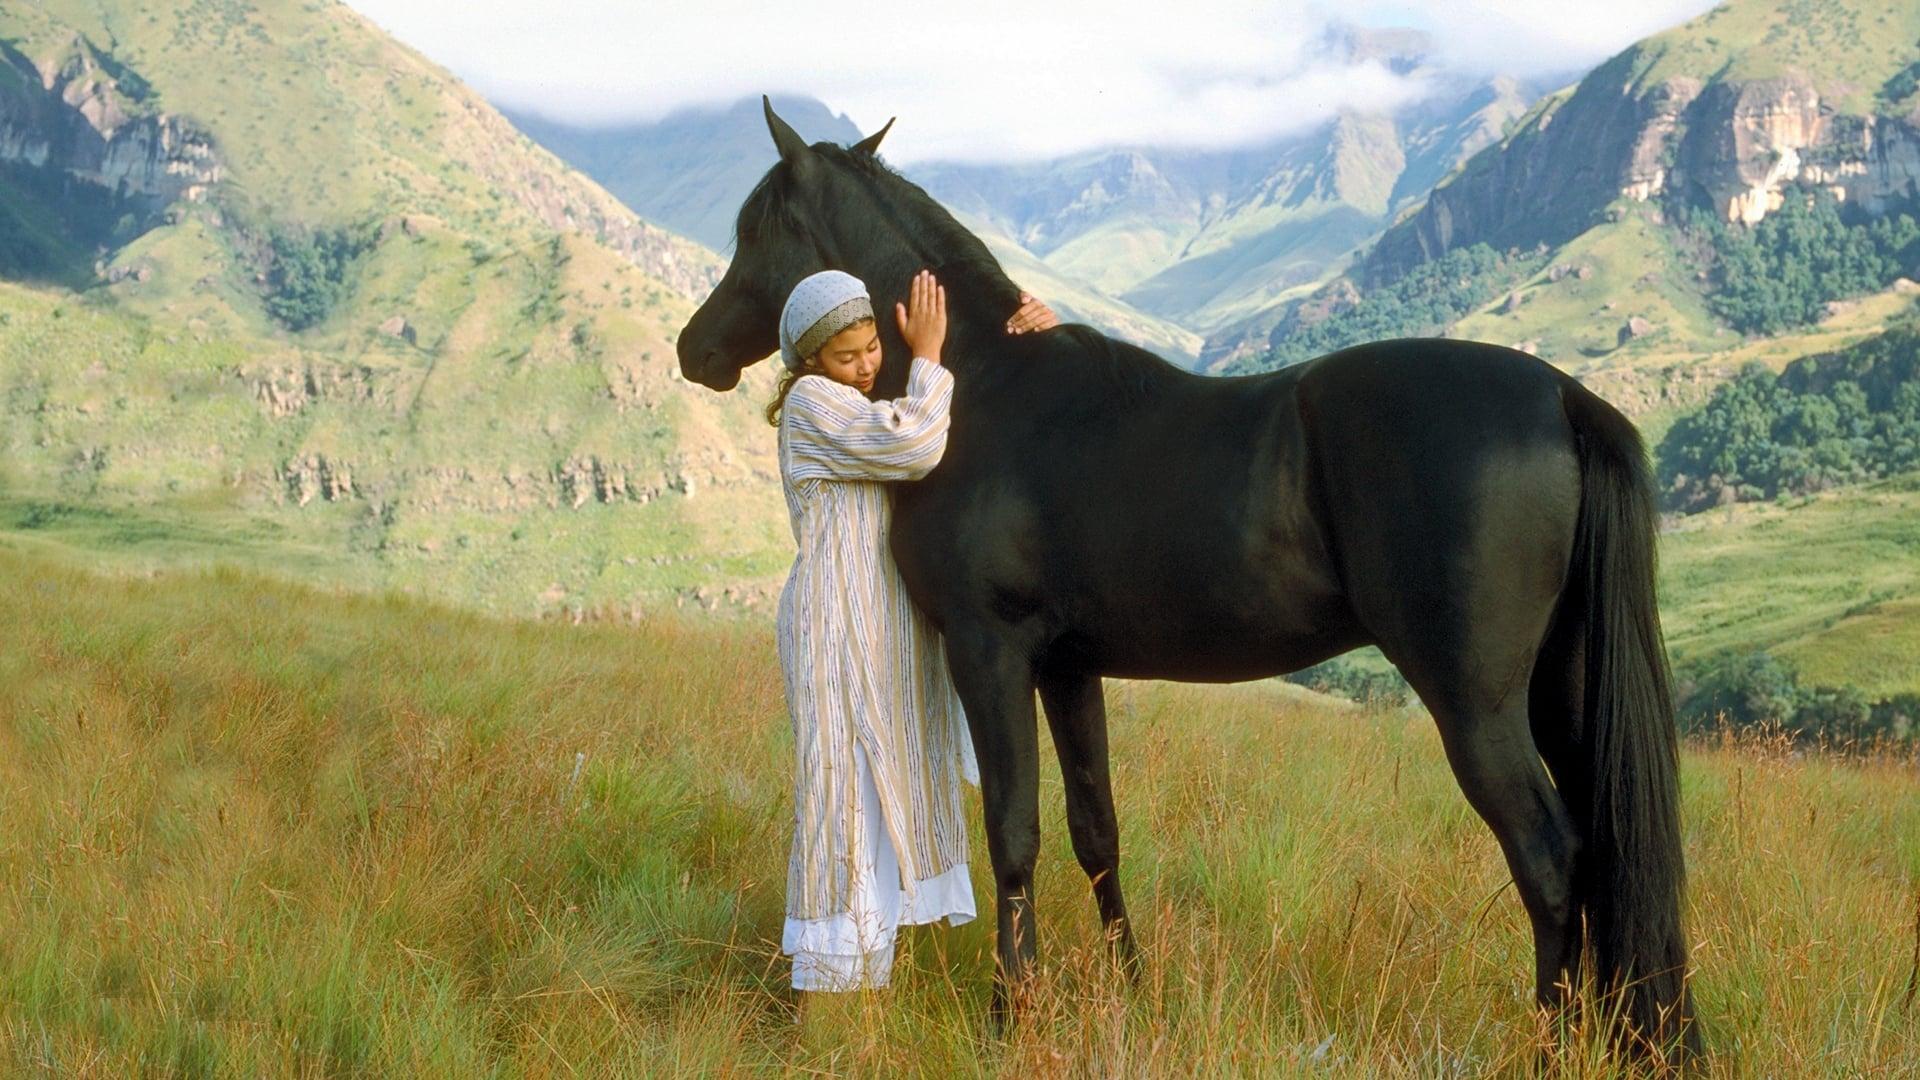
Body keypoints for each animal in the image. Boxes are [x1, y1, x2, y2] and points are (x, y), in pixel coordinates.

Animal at [677, 98, 1696, 1060]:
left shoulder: (989, 651)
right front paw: (1128, 990)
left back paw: (1552, 1042)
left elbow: (1013, 832)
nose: (695, 349)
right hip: (1561, 691)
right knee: (1599, 848)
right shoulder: (1067, 667)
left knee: (1551, 860)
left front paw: (1010, 1015)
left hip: (1477, 704)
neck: (981, 388)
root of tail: (1558, 395)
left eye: (754, 230)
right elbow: (1095, 832)